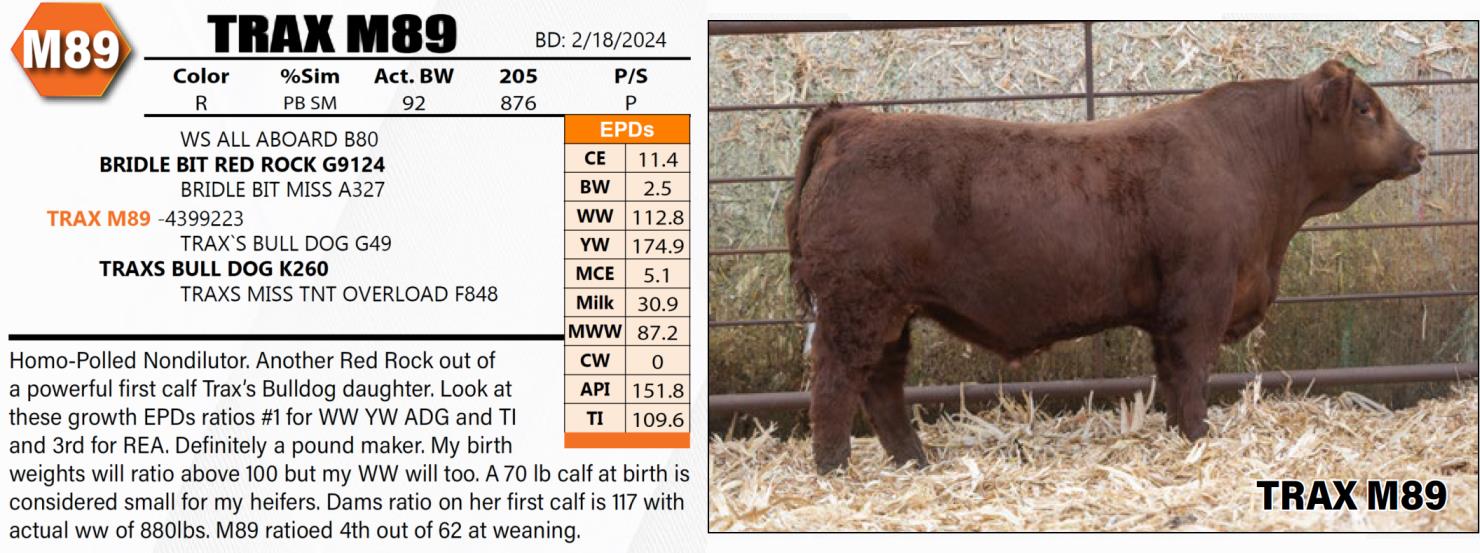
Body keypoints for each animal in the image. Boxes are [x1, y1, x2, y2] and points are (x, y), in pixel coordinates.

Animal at [785, 60, 1428, 474]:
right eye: (1365, 107)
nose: (1419, 149)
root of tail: (855, 121)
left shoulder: (1171, 310)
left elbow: (1170, 375)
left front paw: (1179, 434)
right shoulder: (1201, 297)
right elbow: (1192, 372)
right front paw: (1200, 437)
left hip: (890, 312)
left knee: (881, 385)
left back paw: (914, 461)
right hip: (857, 302)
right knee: (836, 382)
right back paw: (834, 469)